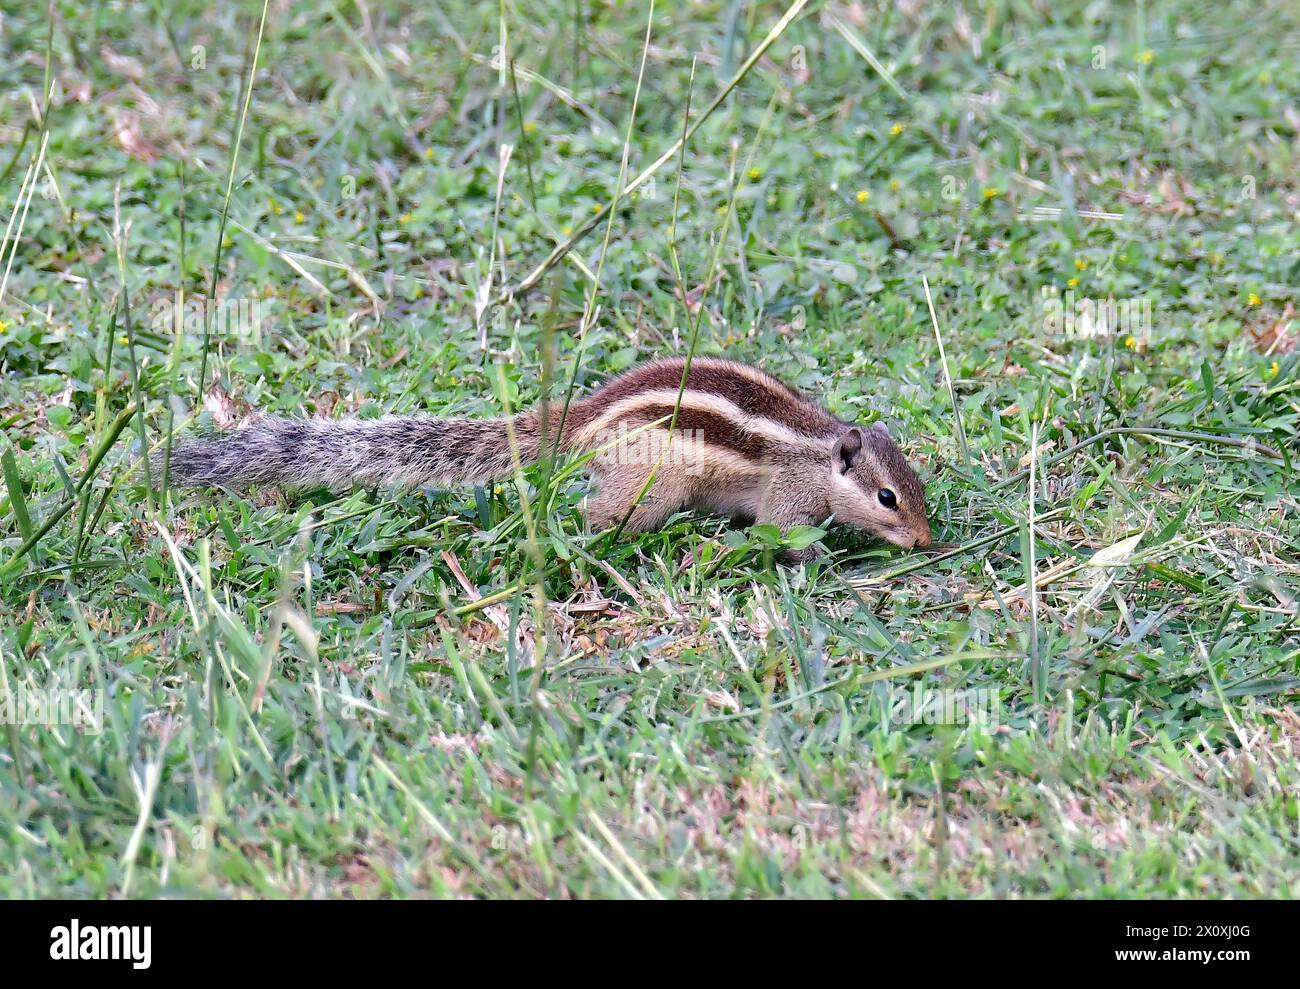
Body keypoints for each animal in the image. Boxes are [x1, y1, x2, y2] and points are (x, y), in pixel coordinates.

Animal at [163, 357, 932, 561]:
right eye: (888, 497)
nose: (927, 540)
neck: (820, 450)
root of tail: (583, 419)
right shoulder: (791, 496)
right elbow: (788, 537)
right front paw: (822, 561)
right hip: (650, 486)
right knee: (601, 512)